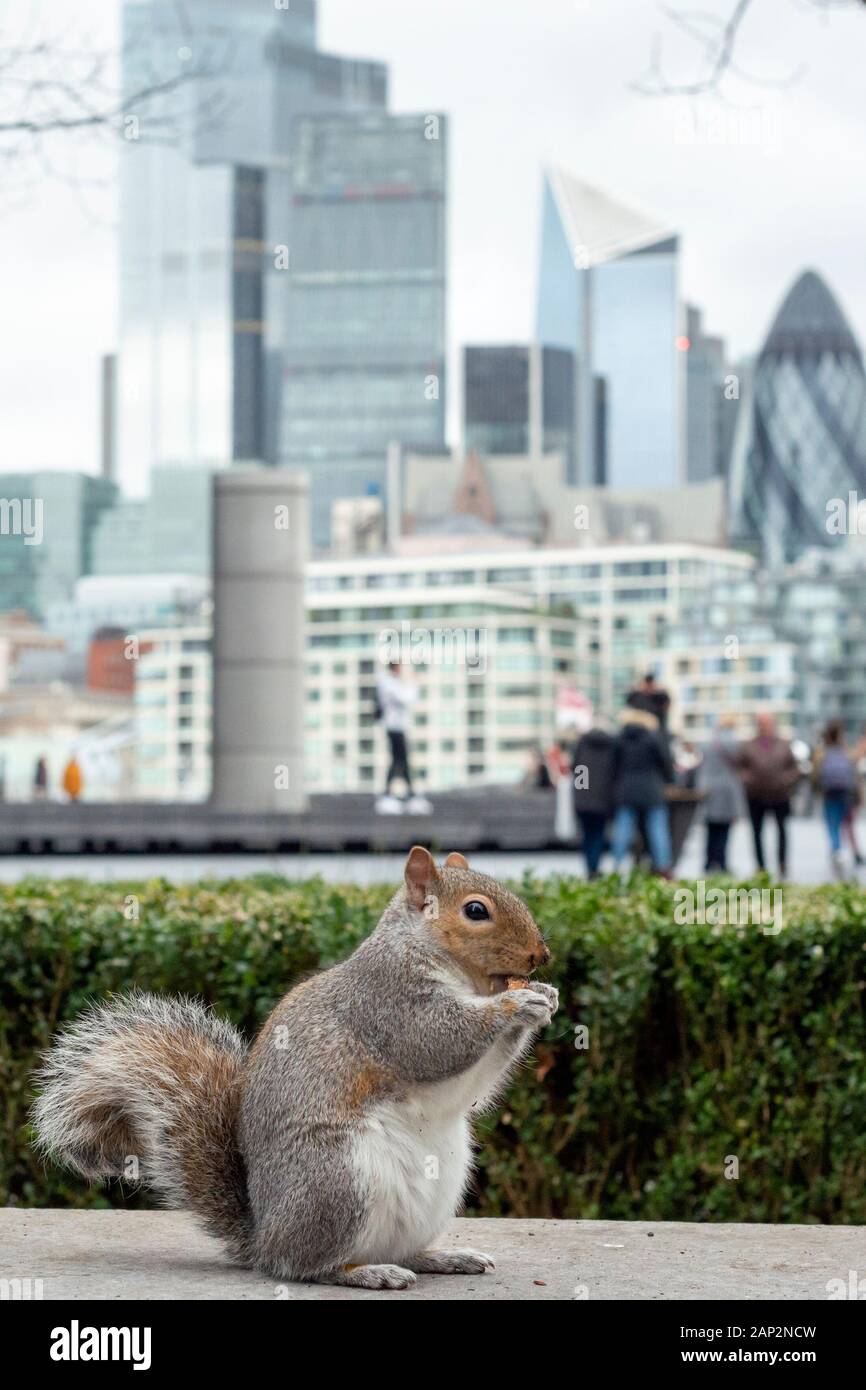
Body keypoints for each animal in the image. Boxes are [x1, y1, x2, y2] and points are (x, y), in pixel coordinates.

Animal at [32, 846, 558, 1291]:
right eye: (476, 911)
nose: (542, 955)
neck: (459, 974)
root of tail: (265, 1237)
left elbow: (470, 1088)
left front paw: (543, 998)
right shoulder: (388, 1004)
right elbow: (437, 1041)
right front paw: (516, 1004)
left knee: (396, 1249)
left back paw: (442, 1257)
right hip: (338, 1179)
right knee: (307, 1265)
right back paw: (365, 1273)